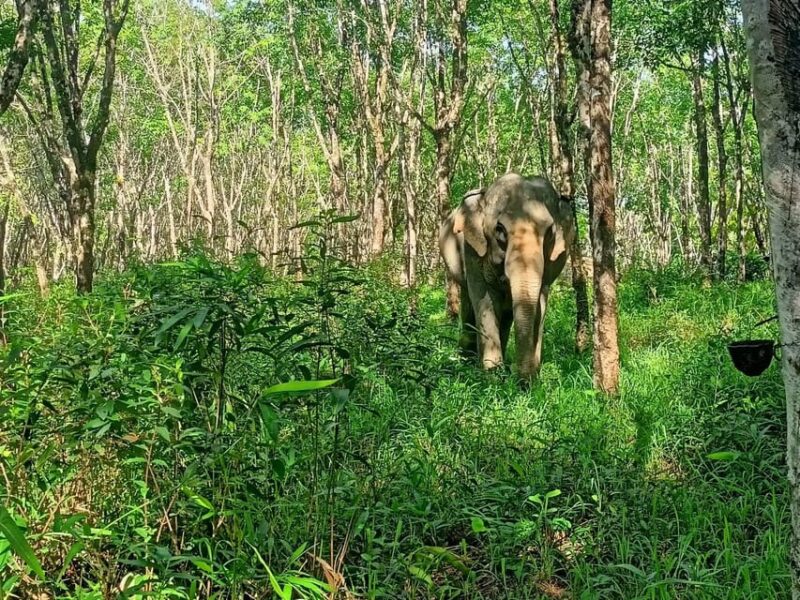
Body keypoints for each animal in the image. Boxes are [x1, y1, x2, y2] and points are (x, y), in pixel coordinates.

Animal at [438, 173, 575, 379]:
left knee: (506, 315)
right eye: (500, 230)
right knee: (469, 303)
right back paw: (466, 358)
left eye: (550, 232)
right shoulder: (472, 250)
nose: (521, 379)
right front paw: (492, 375)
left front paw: (528, 376)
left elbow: (540, 303)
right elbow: (485, 299)